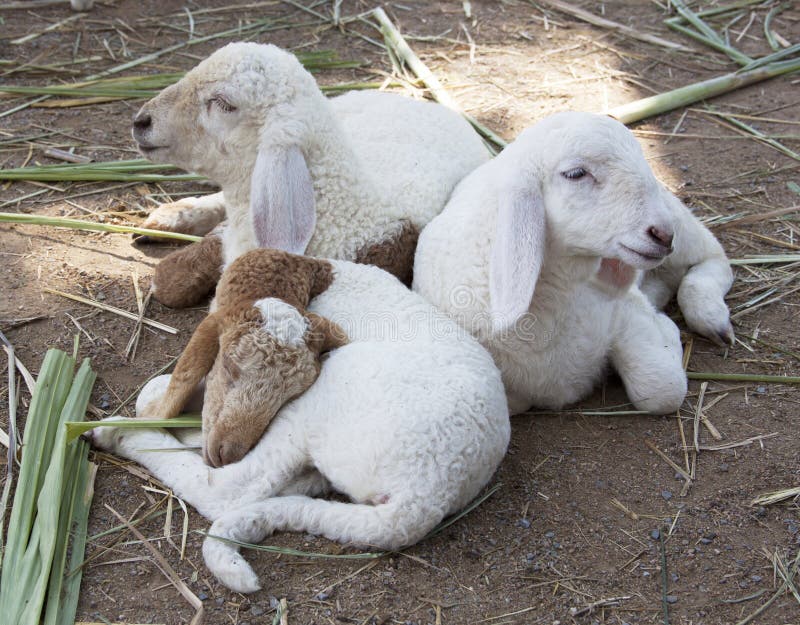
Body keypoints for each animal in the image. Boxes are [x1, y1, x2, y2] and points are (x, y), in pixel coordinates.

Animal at [413, 111, 734, 416]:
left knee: (714, 257)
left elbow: (661, 390)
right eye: (576, 173)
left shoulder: (626, 311)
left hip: (679, 221)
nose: (663, 235)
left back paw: (710, 315)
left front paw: (668, 330)